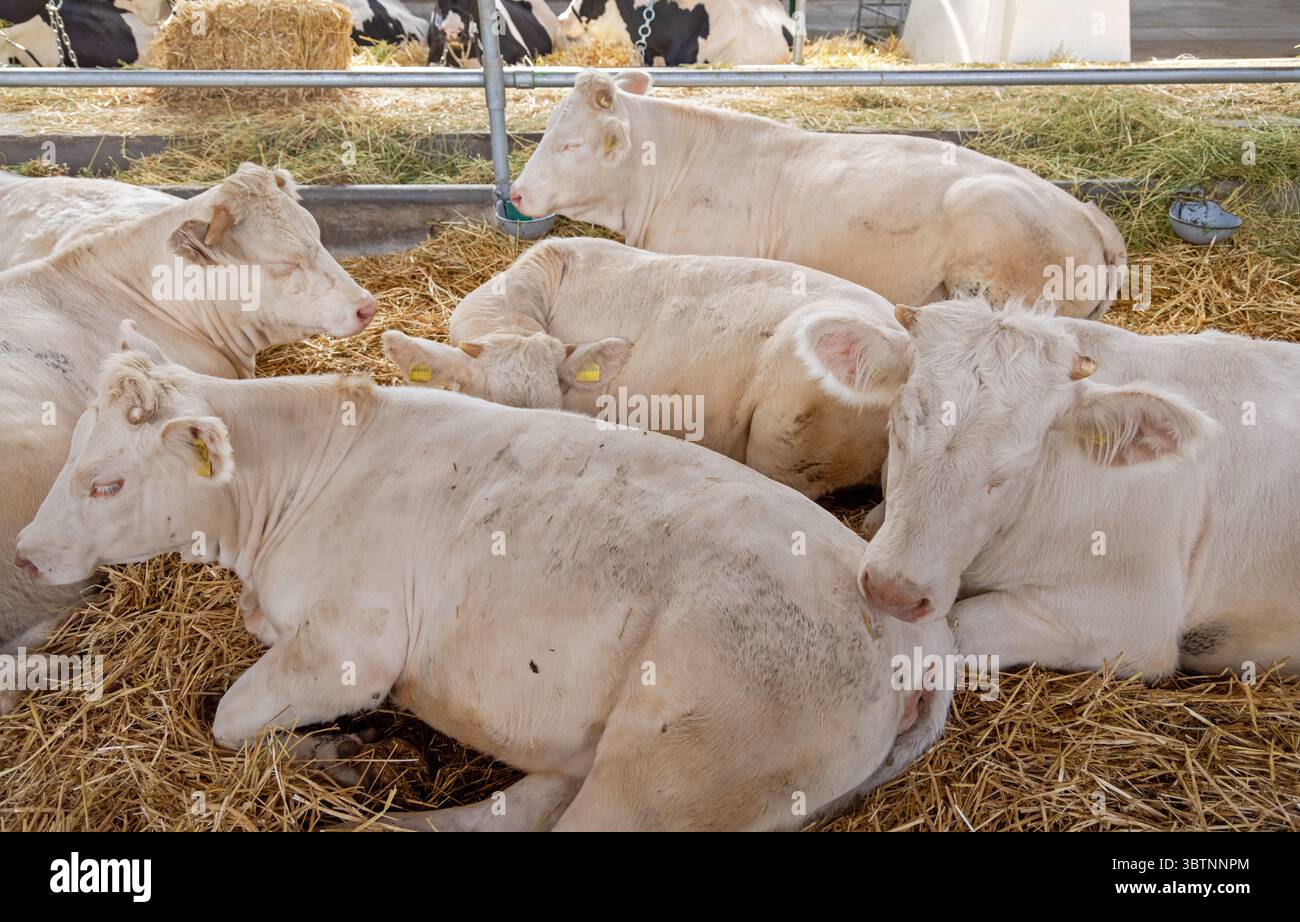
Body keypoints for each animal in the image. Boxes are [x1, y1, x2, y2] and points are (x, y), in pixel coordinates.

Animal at [15, 335, 954, 831]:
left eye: (107, 483)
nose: (24, 553)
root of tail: (913, 632)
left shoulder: (352, 647)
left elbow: (230, 716)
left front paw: (328, 746)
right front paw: (340, 750)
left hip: (674, 778)